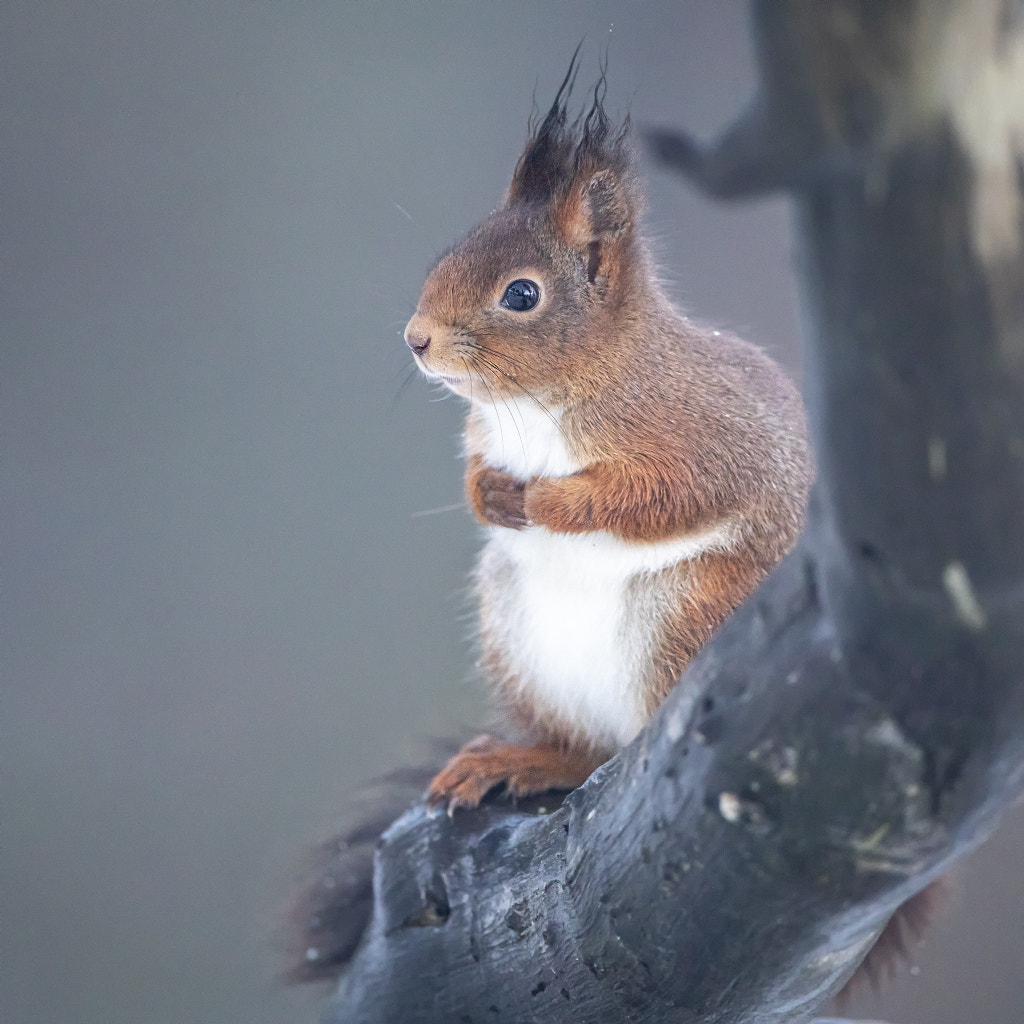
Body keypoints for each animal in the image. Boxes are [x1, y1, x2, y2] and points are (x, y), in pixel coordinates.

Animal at [404, 62, 813, 812]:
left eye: (521, 295)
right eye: (448, 255)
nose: (416, 340)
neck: (541, 401)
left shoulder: (703, 439)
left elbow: (660, 496)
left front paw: (547, 503)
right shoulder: (484, 431)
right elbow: (475, 469)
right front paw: (492, 495)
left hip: (687, 614)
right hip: (514, 630)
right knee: (586, 749)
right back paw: (526, 758)